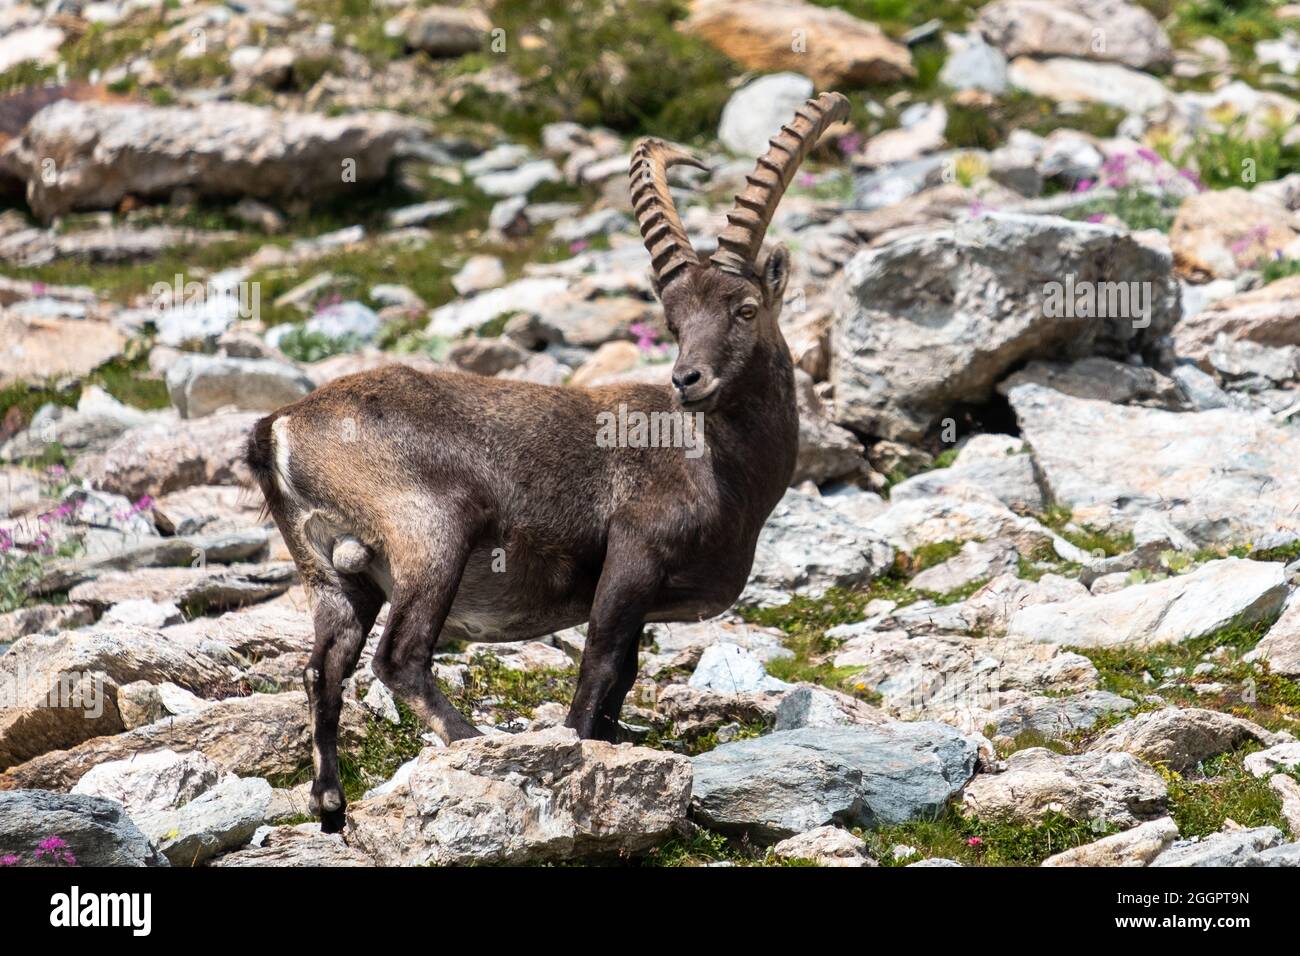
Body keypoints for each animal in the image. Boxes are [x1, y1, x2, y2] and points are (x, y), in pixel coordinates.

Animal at [244, 92, 850, 831]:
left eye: (744, 307)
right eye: (673, 320)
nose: (689, 379)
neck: (719, 465)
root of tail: (280, 427)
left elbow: (623, 677)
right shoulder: (631, 559)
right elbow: (598, 671)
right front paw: (588, 757)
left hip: (333, 575)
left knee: (322, 668)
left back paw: (330, 802)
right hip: (432, 532)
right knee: (400, 658)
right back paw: (476, 744)